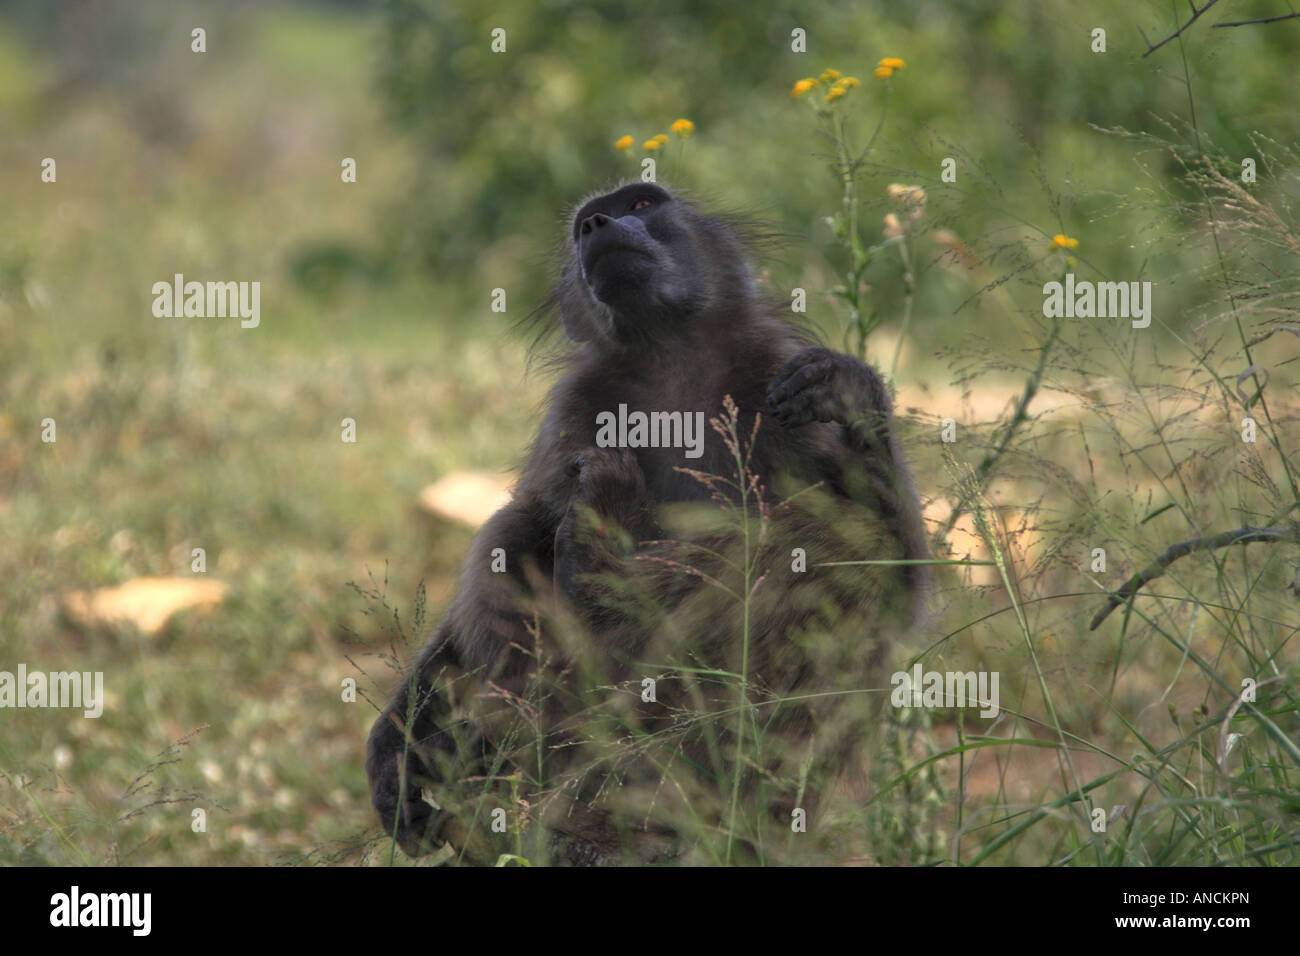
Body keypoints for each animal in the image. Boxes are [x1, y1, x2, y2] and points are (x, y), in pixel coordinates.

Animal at [366, 181, 930, 864]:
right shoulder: (575, 416)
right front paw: (397, 753)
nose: (599, 226)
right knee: (517, 534)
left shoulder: (775, 379)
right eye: (588, 221)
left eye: (640, 203)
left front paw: (850, 392)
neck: (673, 361)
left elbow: (888, 569)